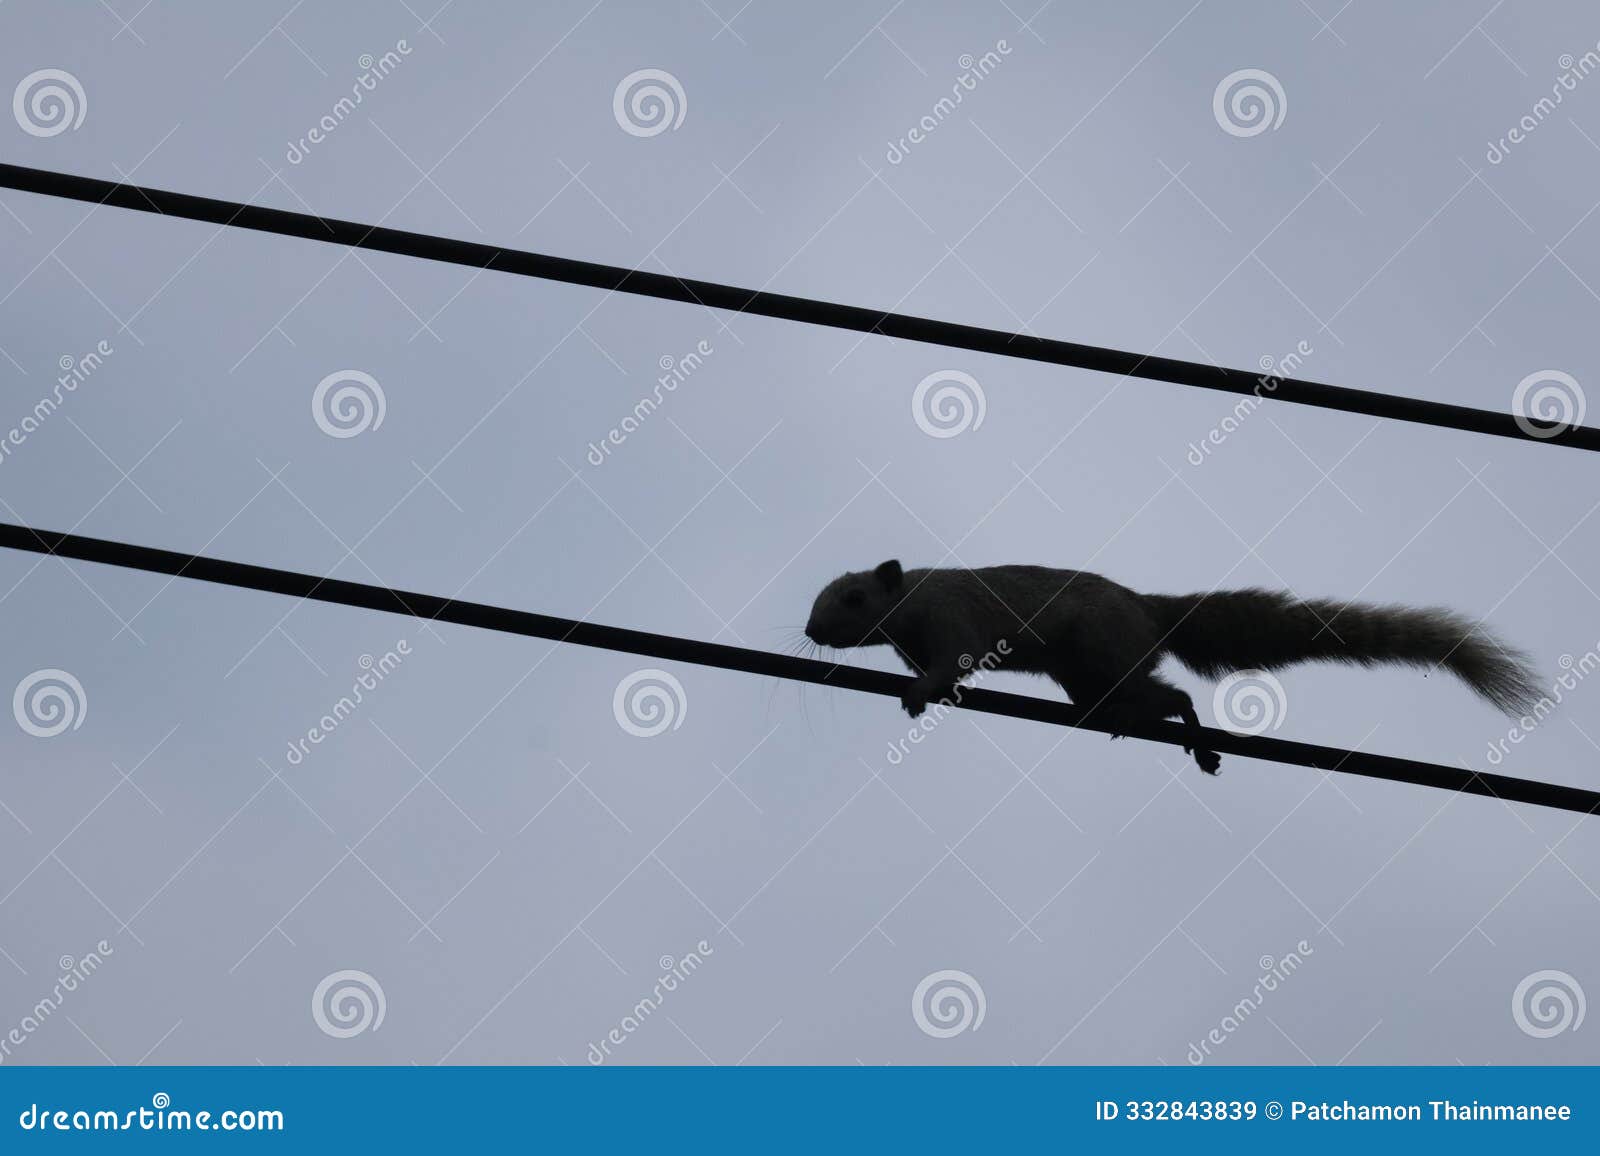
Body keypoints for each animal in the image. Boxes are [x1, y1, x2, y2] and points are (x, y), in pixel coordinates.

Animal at [804, 560, 1540, 775]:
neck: (911, 597)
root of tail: (1150, 610)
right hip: (1088, 677)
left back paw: (1196, 736)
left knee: (1173, 693)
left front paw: (920, 693)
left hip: (1106, 652)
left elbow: (949, 664)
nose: (811, 630)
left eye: (854, 598)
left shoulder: (953, 621)